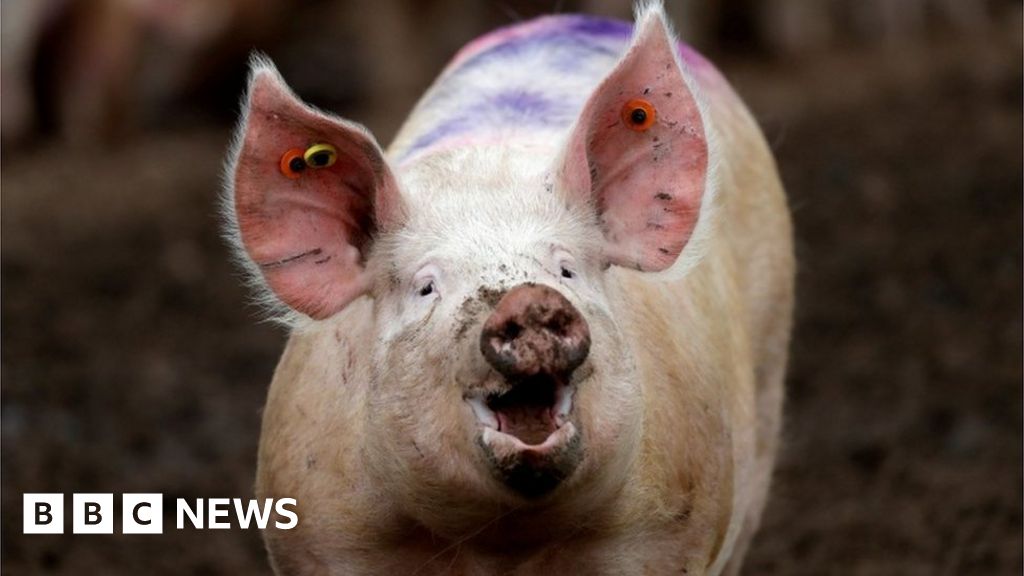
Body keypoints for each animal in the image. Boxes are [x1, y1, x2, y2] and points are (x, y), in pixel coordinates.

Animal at [223, 2, 794, 574]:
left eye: (566, 270)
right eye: (426, 286)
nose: (530, 299)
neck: (503, 544)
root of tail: (567, 20)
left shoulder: (668, 530)